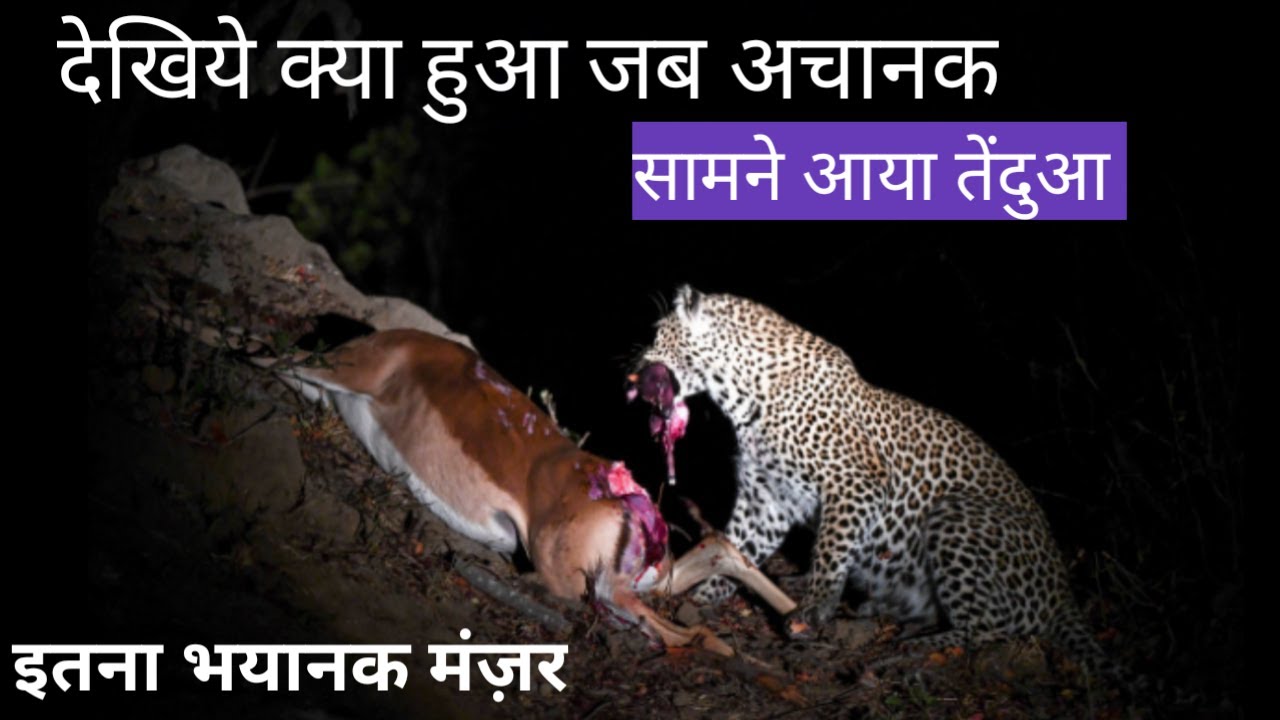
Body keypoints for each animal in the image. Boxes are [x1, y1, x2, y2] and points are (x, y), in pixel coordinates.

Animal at [631, 285, 1111, 674]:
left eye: (657, 333)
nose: (633, 370)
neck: (739, 391)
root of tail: (1064, 593)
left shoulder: (854, 483)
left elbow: (830, 548)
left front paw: (816, 605)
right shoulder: (767, 497)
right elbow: (736, 547)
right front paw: (704, 593)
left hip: (955, 514)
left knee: (991, 627)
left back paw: (919, 646)